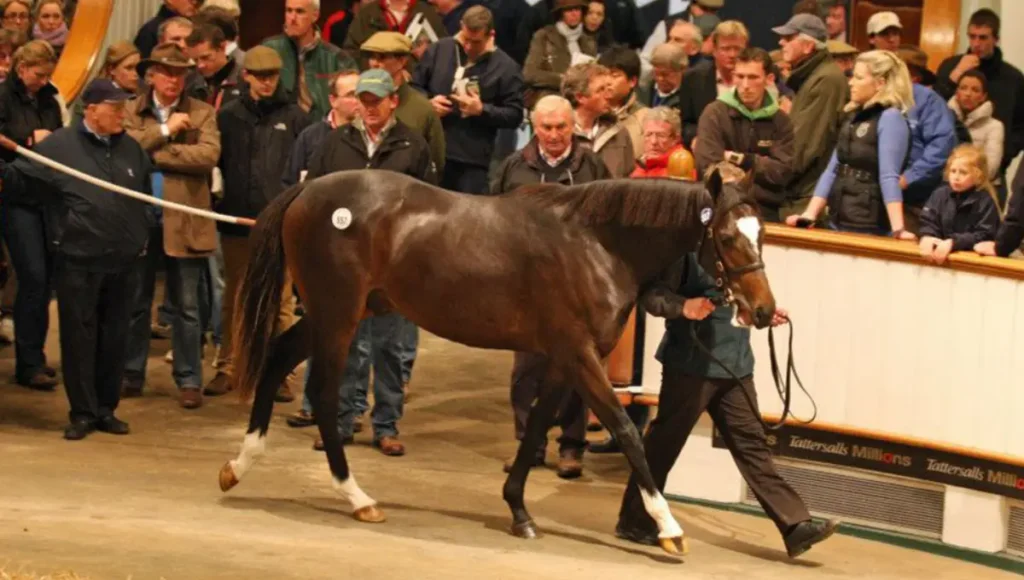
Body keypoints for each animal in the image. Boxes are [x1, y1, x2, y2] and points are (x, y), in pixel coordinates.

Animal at [217, 162, 774, 556]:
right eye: (728, 237)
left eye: (763, 234)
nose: (765, 310)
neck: (597, 245)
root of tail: (308, 190)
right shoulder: (580, 355)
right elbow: (626, 430)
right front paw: (669, 527)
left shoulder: (563, 359)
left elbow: (537, 427)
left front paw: (519, 511)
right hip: (337, 315)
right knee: (324, 393)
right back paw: (358, 497)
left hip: (333, 313)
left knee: (277, 358)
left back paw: (238, 466)